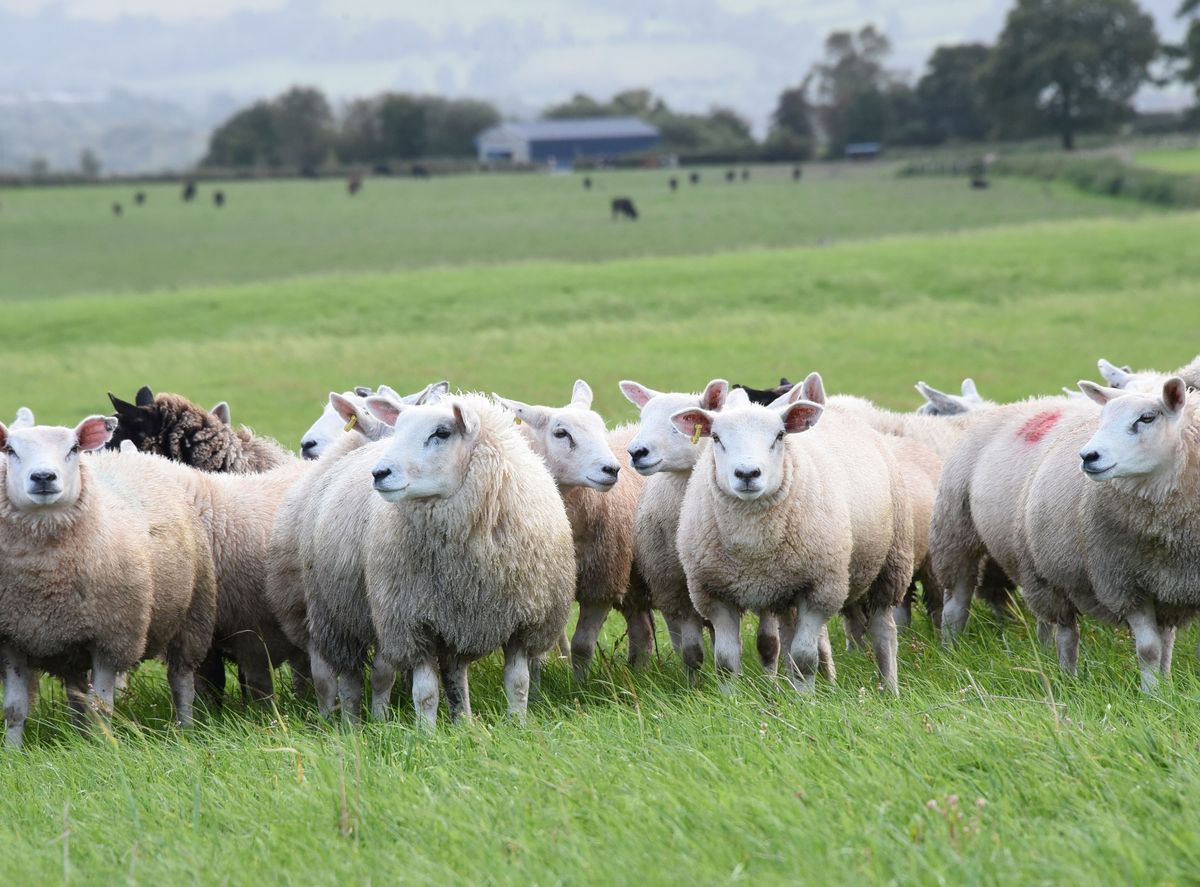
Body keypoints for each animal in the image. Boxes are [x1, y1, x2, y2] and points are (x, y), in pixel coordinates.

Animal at [0, 417, 217, 746]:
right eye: (10, 450)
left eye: (73, 448)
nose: (43, 477)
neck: (45, 580)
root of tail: (129, 454)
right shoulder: (12, 641)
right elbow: (14, 709)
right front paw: (13, 750)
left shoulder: (112, 638)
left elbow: (102, 707)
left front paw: (104, 746)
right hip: (70, 645)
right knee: (76, 696)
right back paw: (79, 737)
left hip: (193, 615)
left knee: (181, 681)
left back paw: (186, 729)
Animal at [365, 393, 575, 727]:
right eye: (396, 430)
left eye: (441, 433)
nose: (379, 473)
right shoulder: (413, 623)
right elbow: (425, 693)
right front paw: (426, 732)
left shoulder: (524, 622)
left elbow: (518, 682)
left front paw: (517, 724)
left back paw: (464, 722)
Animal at [496, 381, 652, 681]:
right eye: (561, 433)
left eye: (601, 429)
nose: (611, 469)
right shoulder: (548, 589)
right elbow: (538, 651)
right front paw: (537, 687)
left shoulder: (601, 583)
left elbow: (582, 646)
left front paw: (579, 685)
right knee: (643, 632)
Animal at [672, 376, 914, 694]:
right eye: (715, 437)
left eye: (779, 435)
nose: (747, 473)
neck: (752, 545)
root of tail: (835, 407)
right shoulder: (713, 594)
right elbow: (725, 662)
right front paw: (730, 699)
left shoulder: (821, 589)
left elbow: (804, 657)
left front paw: (806, 699)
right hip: (784, 586)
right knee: (786, 633)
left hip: (890, 565)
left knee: (884, 631)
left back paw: (890, 688)